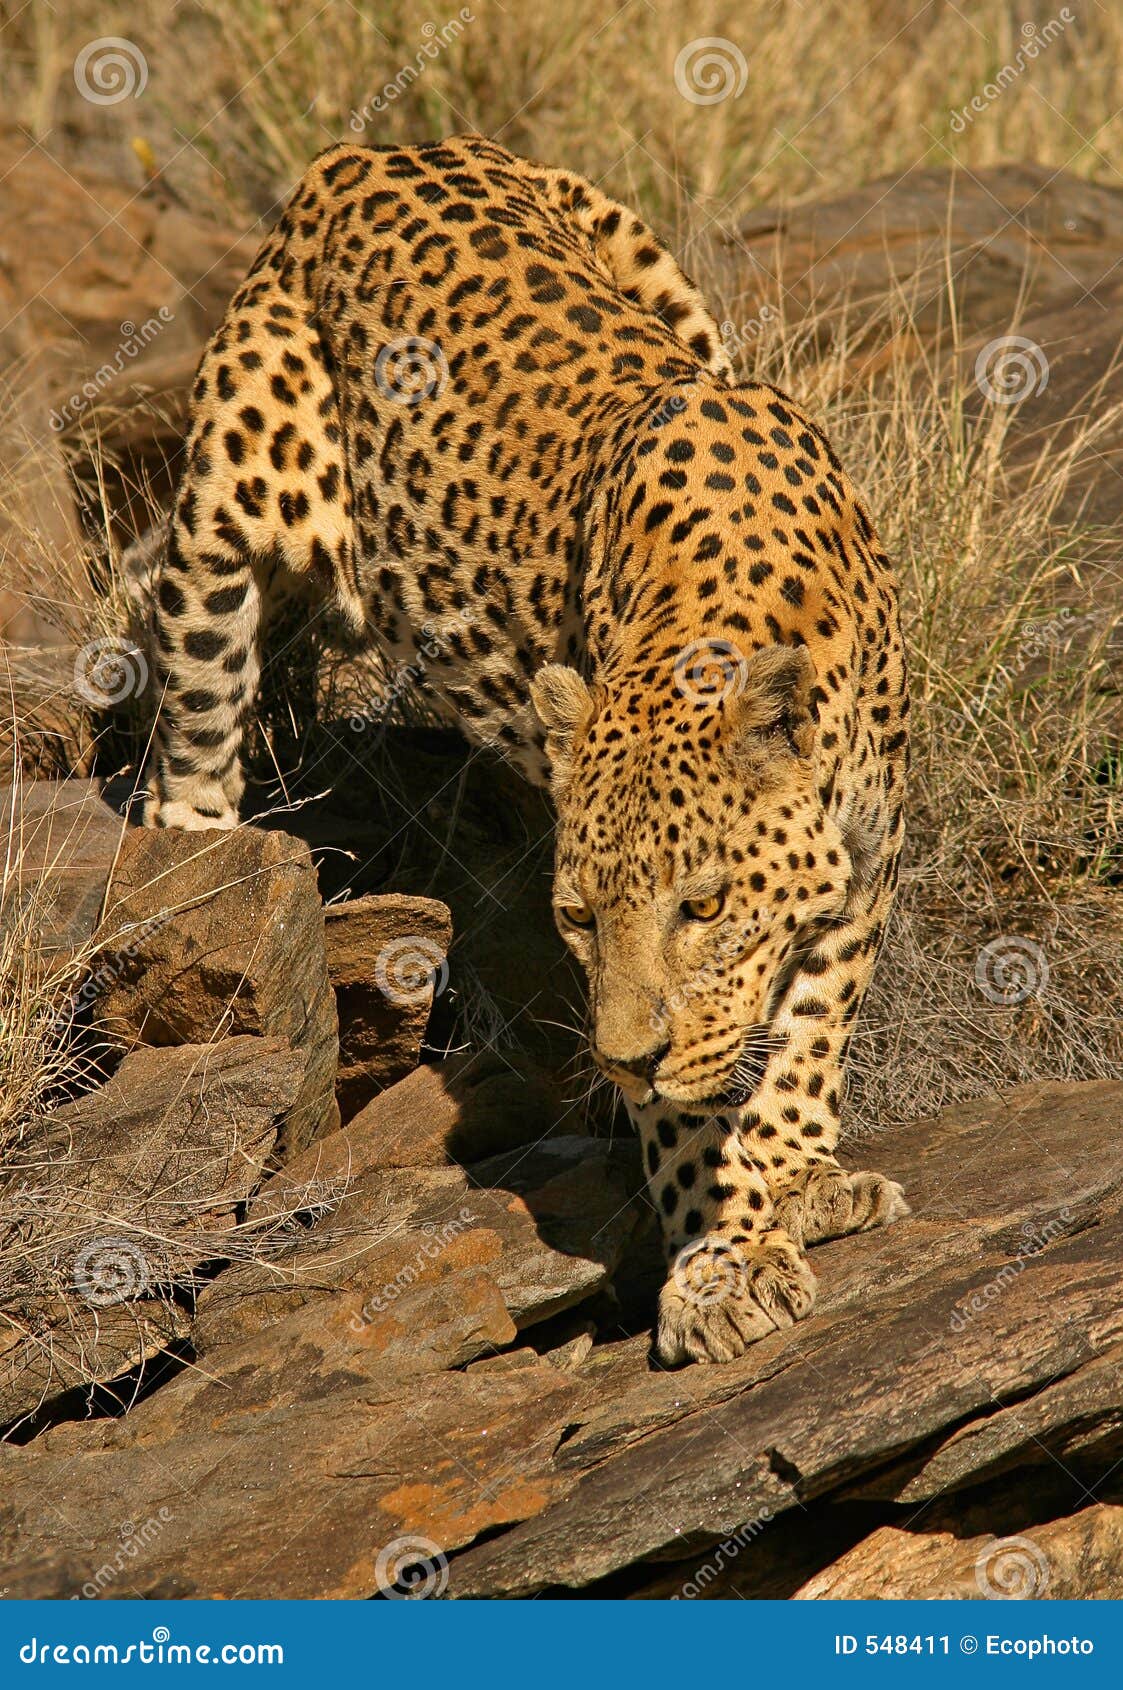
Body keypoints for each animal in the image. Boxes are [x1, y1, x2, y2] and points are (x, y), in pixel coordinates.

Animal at [143, 132, 910, 1365]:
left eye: (702, 907)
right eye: (578, 919)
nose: (624, 1058)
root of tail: (372, 147)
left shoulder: (863, 874)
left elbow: (802, 1044)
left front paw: (797, 1179)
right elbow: (693, 1121)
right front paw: (724, 1261)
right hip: (227, 505)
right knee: (198, 711)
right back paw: (204, 855)